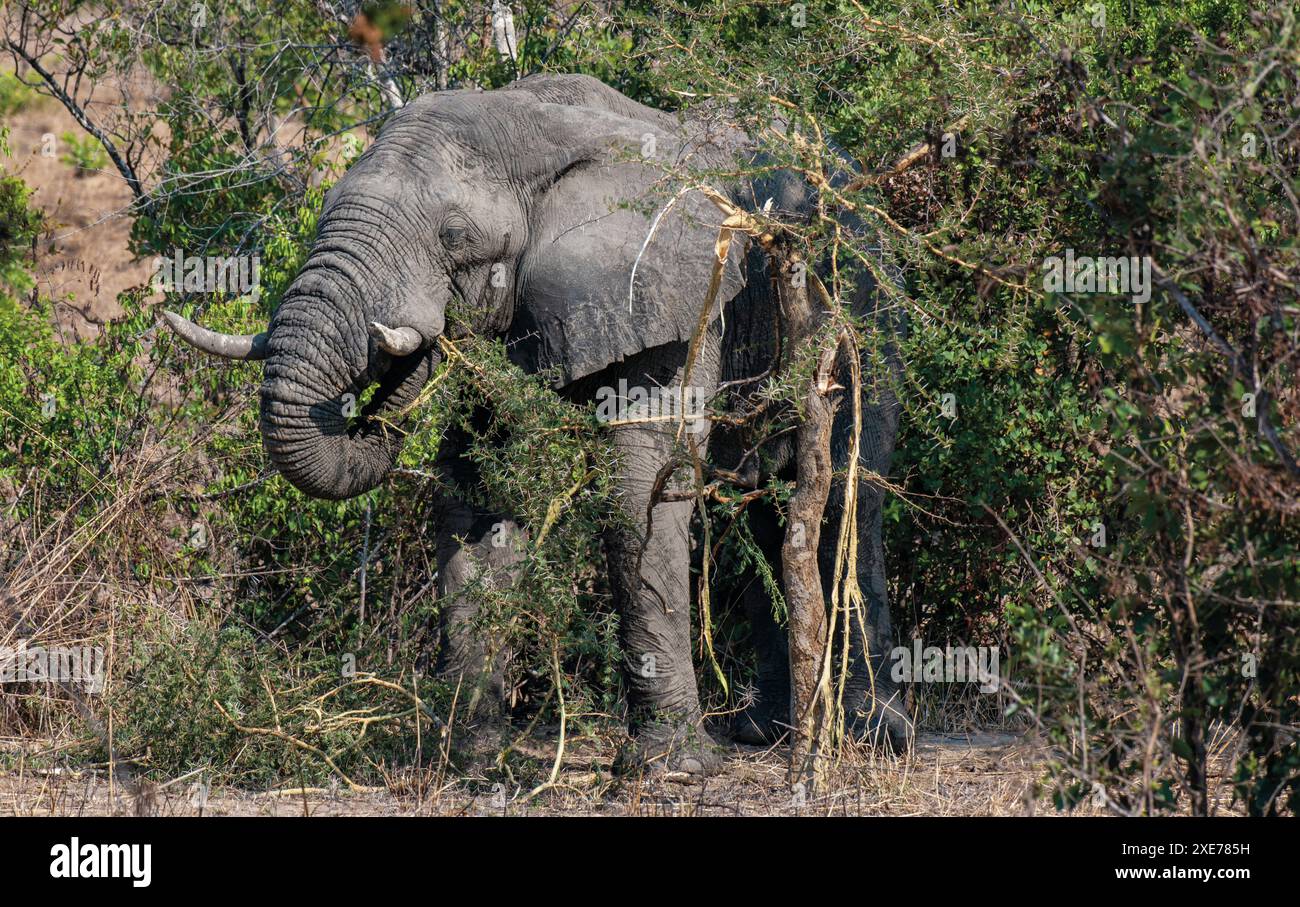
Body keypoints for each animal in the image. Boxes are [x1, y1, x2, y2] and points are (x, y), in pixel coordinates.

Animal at [164, 73, 913, 776]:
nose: (401, 357)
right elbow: (478, 490)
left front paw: (670, 770)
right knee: (756, 508)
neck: (537, 128)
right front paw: (469, 761)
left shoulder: (675, 295)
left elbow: (641, 484)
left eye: (455, 238)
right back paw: (766, 733)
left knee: (843, 498)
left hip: (867, 312)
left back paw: (869, 735)